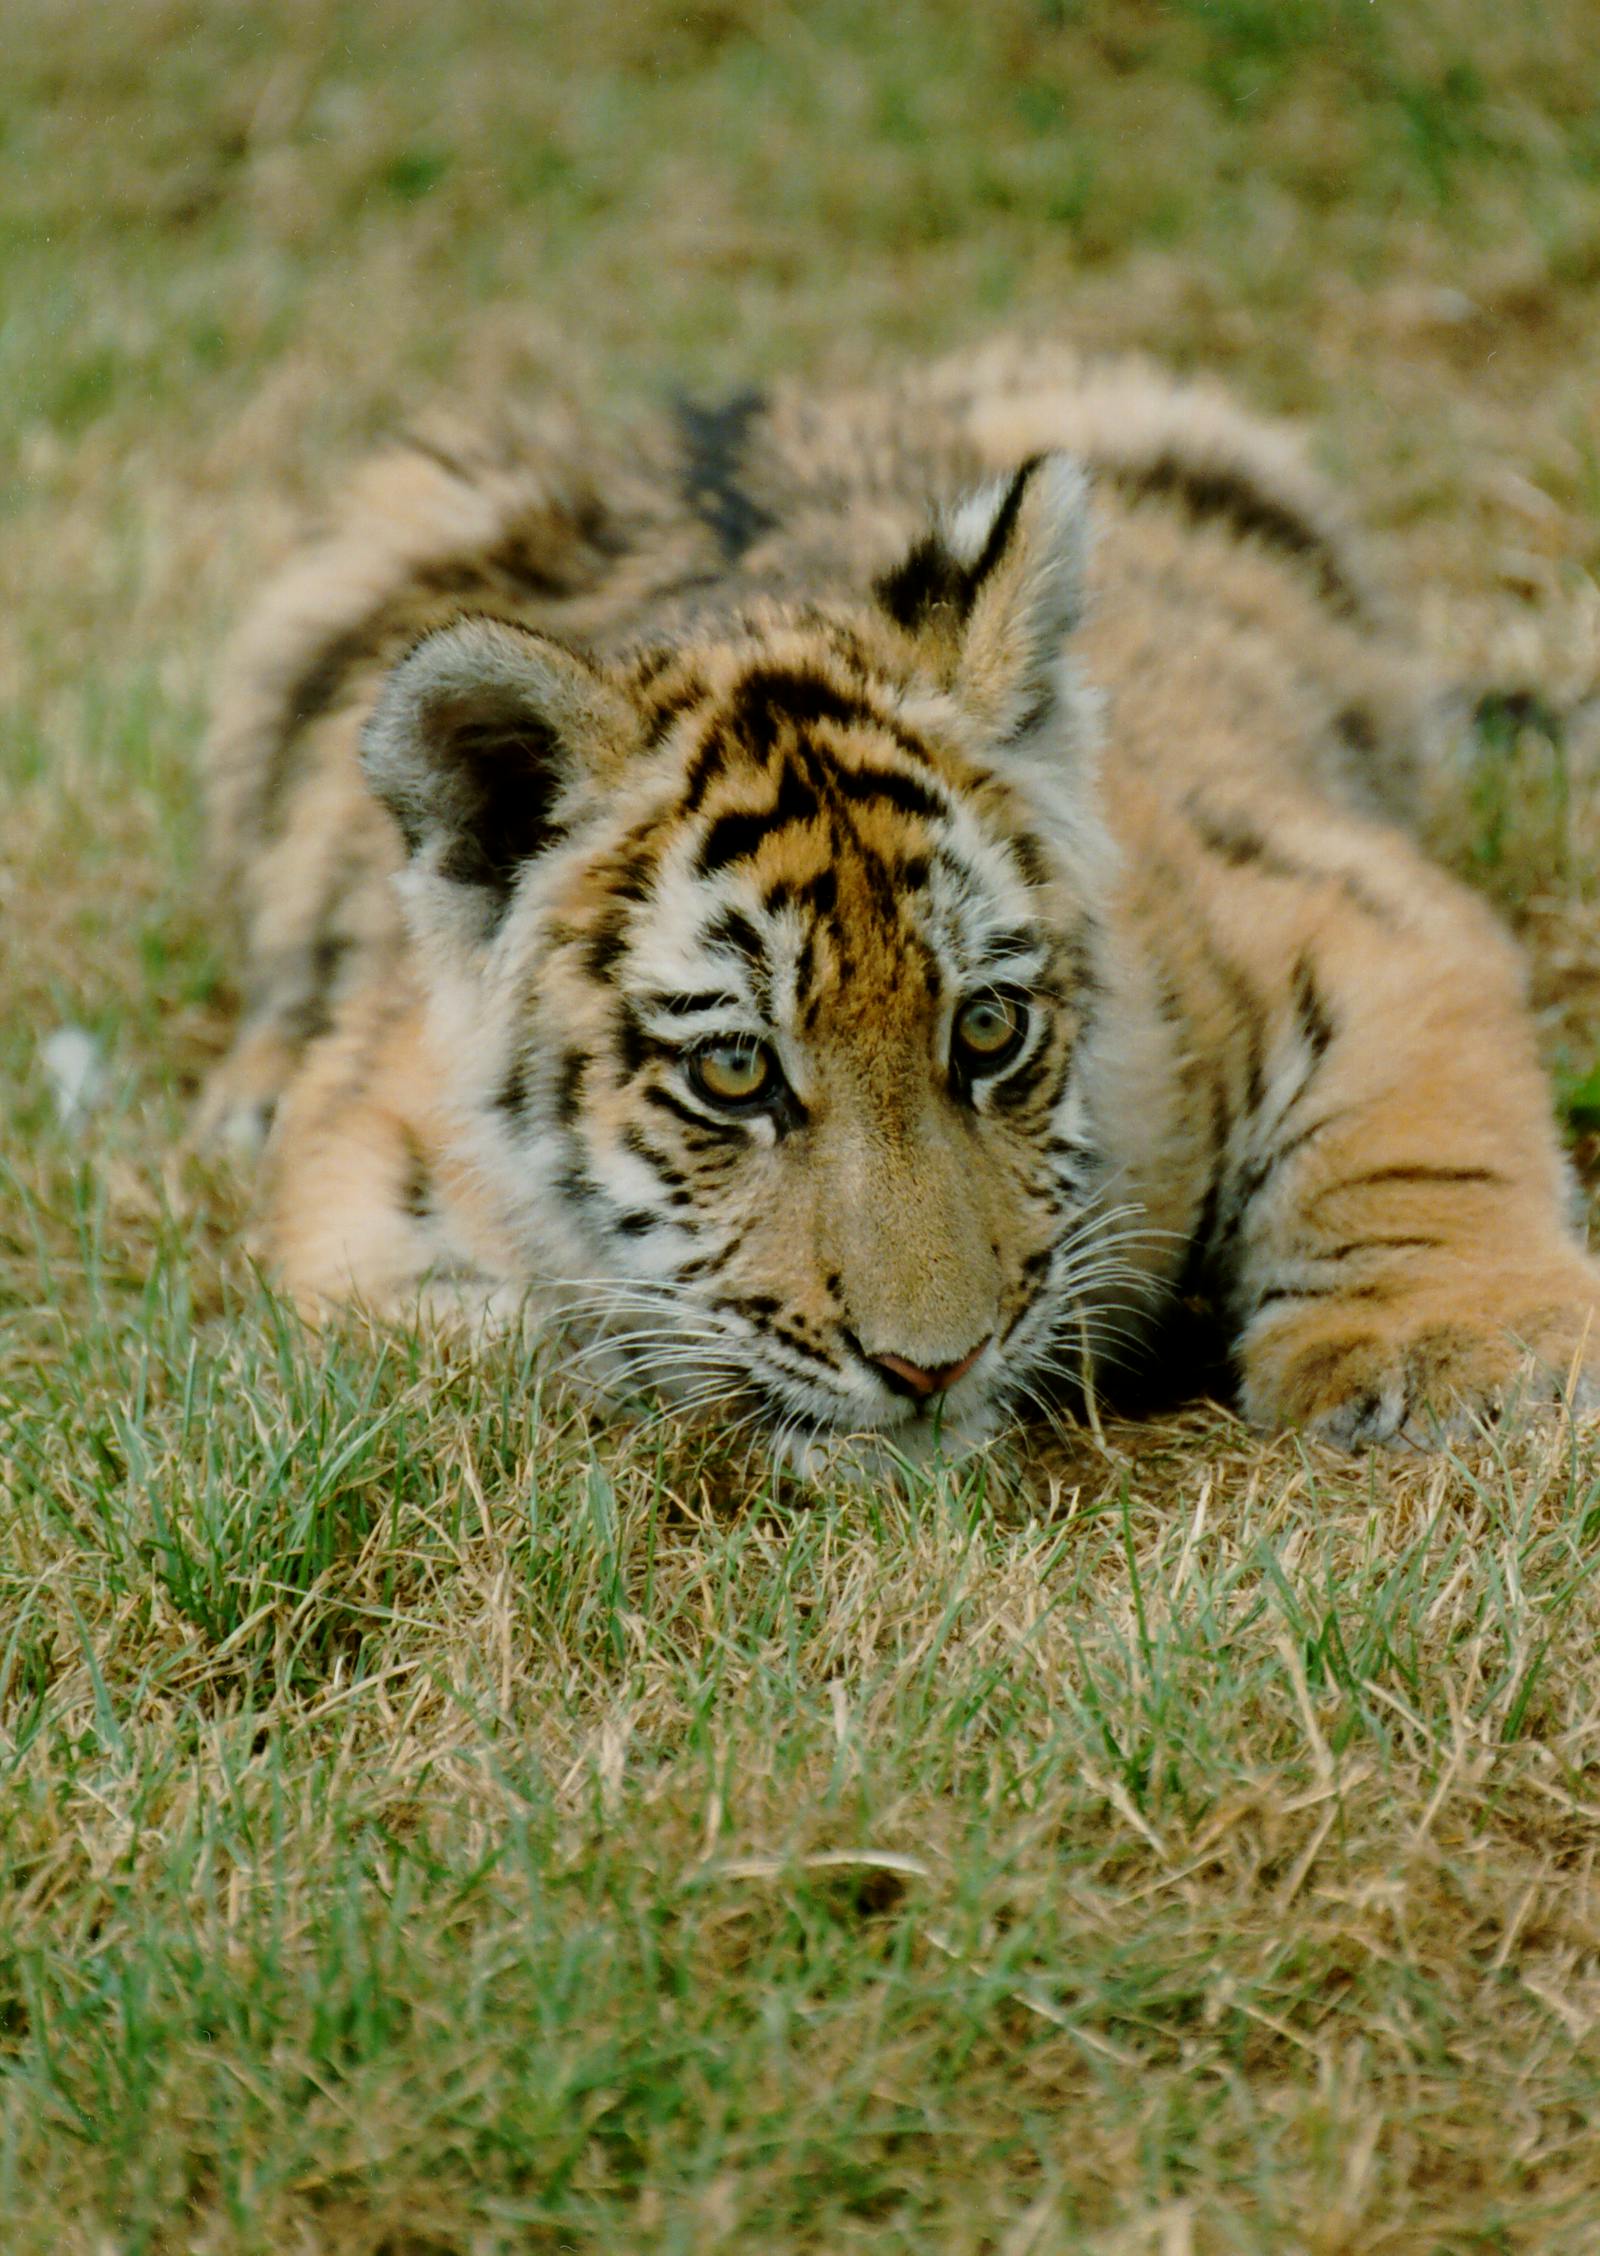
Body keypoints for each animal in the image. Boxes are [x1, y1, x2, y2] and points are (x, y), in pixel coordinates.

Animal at [202, 339, 1600, 1473]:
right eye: (731, 1073)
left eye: (987, 1029)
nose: (933, 1368)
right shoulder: (364, 1180)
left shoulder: (1322, 899)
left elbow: (1415, 1133)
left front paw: (1464, 1357)